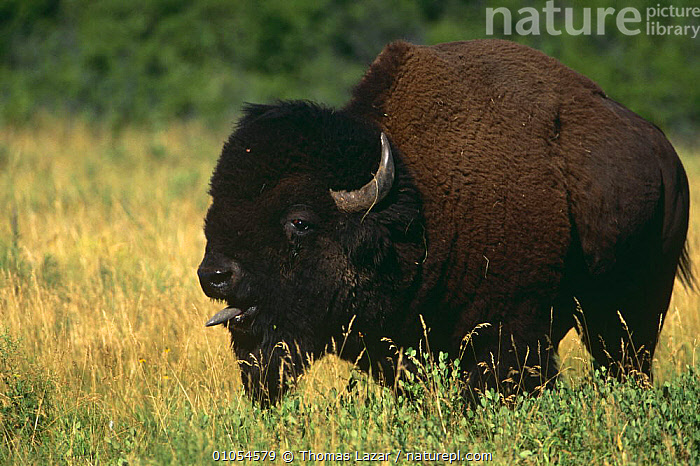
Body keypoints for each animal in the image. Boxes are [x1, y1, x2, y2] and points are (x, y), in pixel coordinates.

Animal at [198, 40, 692, 403]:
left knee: (626, 359)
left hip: (637, 303)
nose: (214, 275)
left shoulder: (510, 334)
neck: (420, 206)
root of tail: (665, 154)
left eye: (300, 221)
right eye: (214, 207)